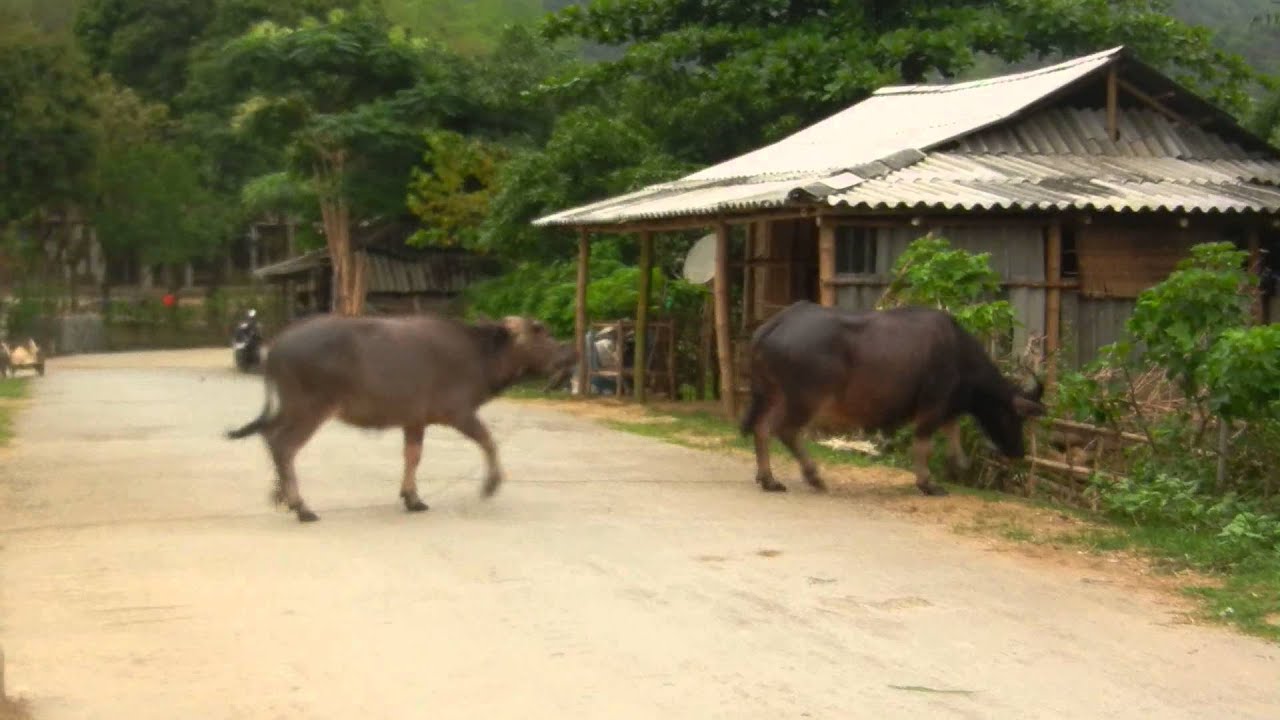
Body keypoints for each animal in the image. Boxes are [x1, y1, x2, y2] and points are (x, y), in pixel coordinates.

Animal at [226, 313, 576, 522]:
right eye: (539, 332)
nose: (568, 354)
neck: (479, 355)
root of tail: (276, 349)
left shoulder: (415, 419)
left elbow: (413, 455)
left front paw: (412, 498)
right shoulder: (459, 413)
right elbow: (488, 441)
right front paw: (490, 485)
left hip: (290, 406)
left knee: (269, 435)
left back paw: (281, 495)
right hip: (310, 407)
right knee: (284, 445)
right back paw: (301, 507)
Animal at [740, 301, 1045, 496]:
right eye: (1013, 416)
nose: (1018, 451)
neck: (958, 353)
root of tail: (773, 324)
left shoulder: (947, 405)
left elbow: (952, 429)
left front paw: (958, 463)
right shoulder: (933, 403)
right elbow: (924, 444)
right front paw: (928, 483)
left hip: (772, 395)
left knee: (761, 428)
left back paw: (768, 479)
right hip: (805, 399)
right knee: (785, 431)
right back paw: (812, 476)